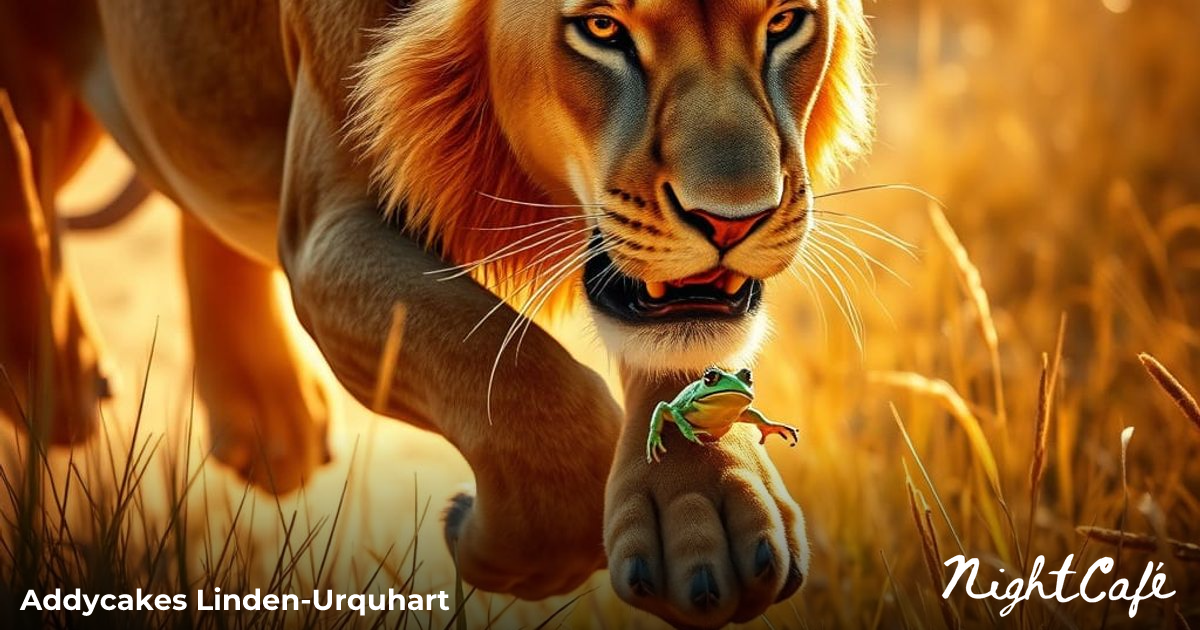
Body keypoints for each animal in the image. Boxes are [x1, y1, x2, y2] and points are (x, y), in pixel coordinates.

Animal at [0, 0, 872, 626]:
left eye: (786, 21)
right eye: (601, 28)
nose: (733, 221)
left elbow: (671, 342)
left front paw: (704, 513)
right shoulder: (333, 227)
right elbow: (530, 397)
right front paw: (482, 538)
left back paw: (266, 415)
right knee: (23, 157)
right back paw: (58, 382)